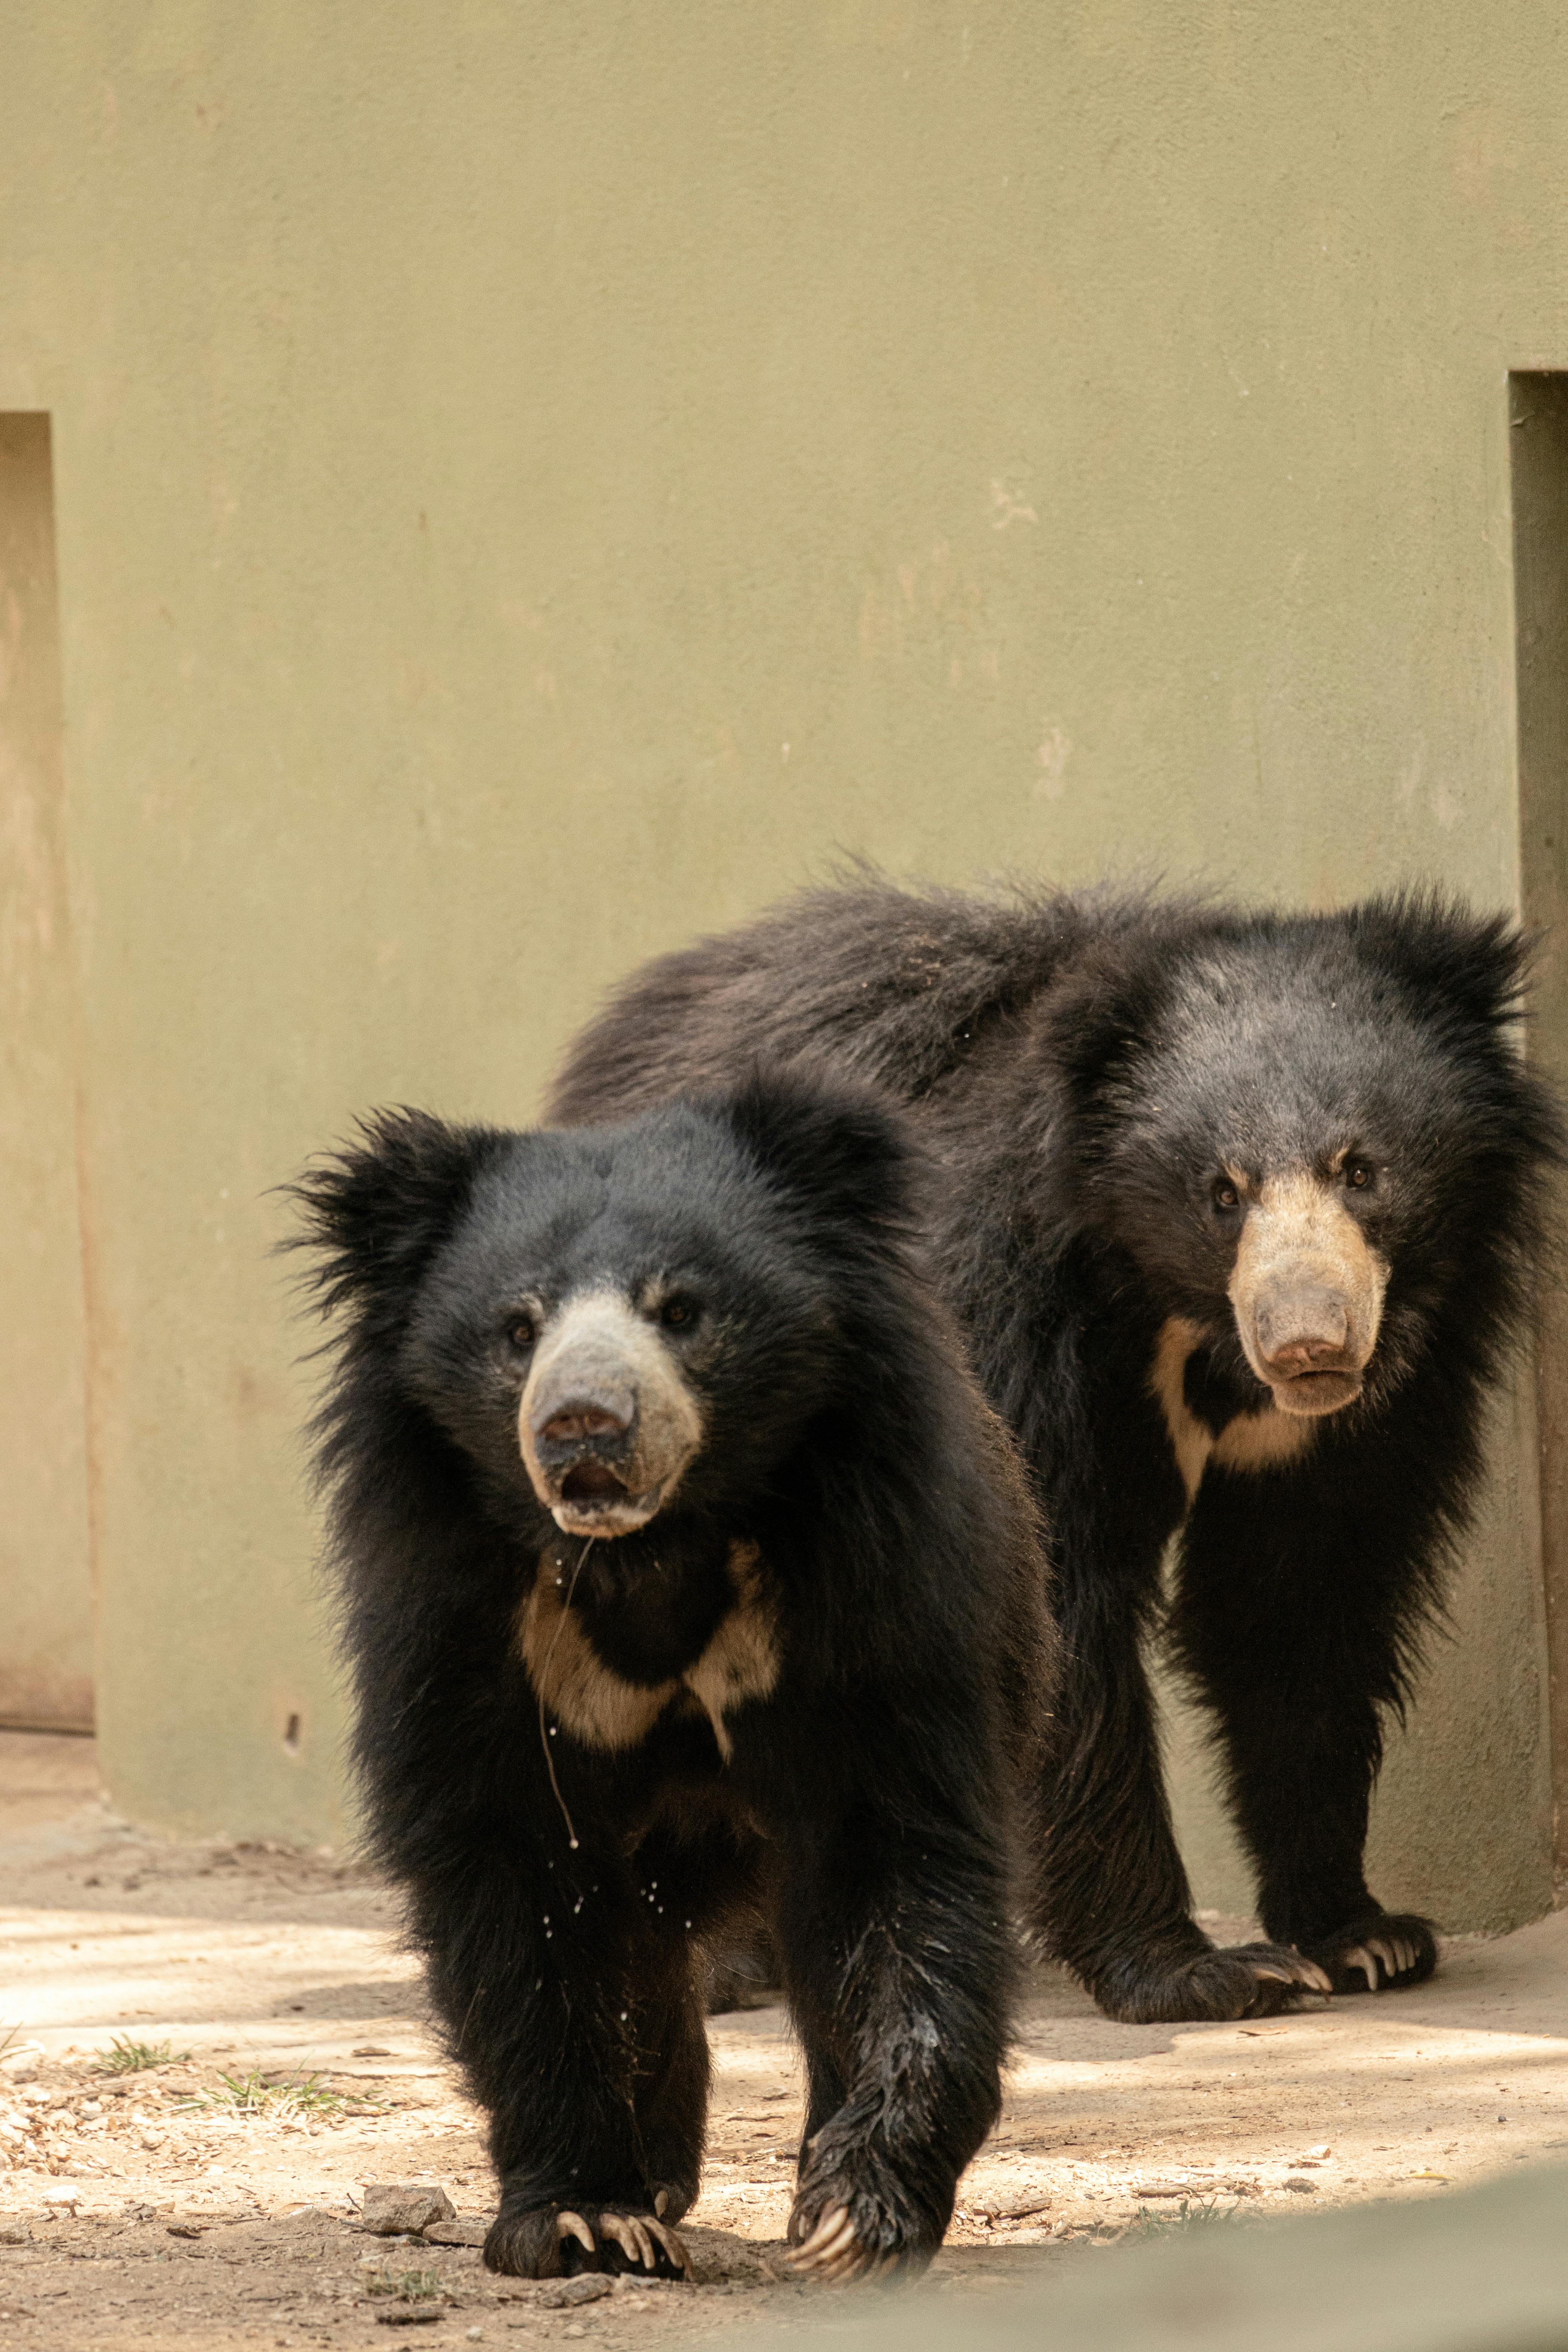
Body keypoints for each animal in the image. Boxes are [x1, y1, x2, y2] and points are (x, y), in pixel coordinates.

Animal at [291, 1068, 1053, 2280]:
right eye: (518, 1327)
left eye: (682, 1309)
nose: (583, 1425)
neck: (650, 1554)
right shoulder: (460, 1630)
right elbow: (516, 1896)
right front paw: (584, 2215)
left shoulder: (882, 1600)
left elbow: (899, 1861)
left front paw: (856, 2211)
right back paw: (656, 2169)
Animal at [548, 878, 1564, 2026]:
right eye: (1222, 1191)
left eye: (1360, 1169)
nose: (1310, 1346)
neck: (1177, 1312)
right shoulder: (1006, 1316)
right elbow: (1050, 1599)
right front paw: (1201, 1970)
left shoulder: (1381, 1397)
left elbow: (1300, 1605)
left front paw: (1361, 1936)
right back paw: (717, 1962)